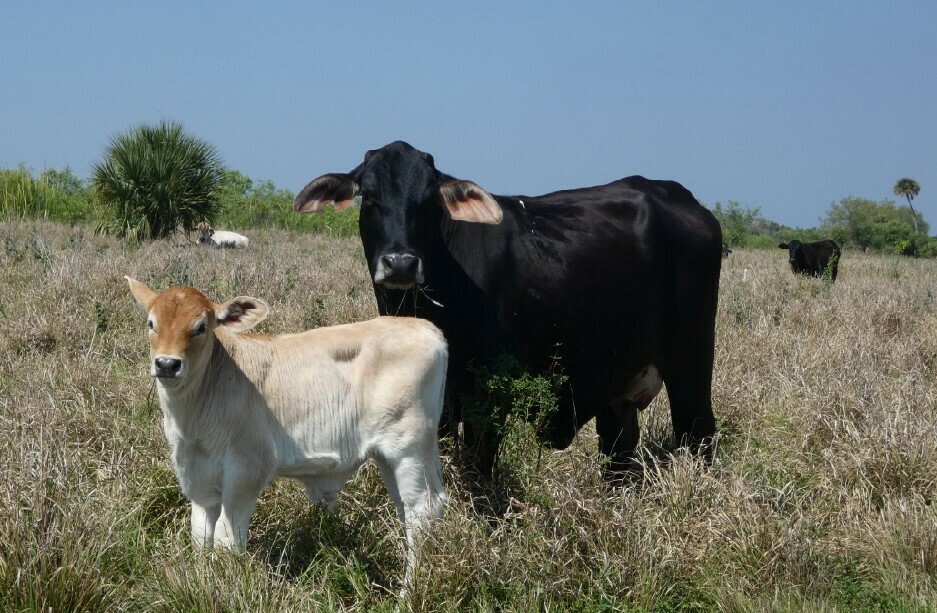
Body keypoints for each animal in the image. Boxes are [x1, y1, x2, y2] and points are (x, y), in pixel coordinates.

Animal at [125, 277, 448, 584]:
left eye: (201, 327)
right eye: (151, 323)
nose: (167, 364)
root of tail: (426, 328)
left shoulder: (246, 472)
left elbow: (226, 541)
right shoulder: (197, 480)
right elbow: (201, 538)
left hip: (409, 450)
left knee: (421, 512)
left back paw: (409, 589)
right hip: (393, 456)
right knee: (416, 508)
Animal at [293, 141, 723, 479]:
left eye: (429, 199)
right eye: (368, 195)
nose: (400, 263)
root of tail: (681, 198)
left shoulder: (487, 395)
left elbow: (479, 466)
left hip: (690, 363)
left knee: (698, 433)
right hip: (617, 382)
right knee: (619, 451)